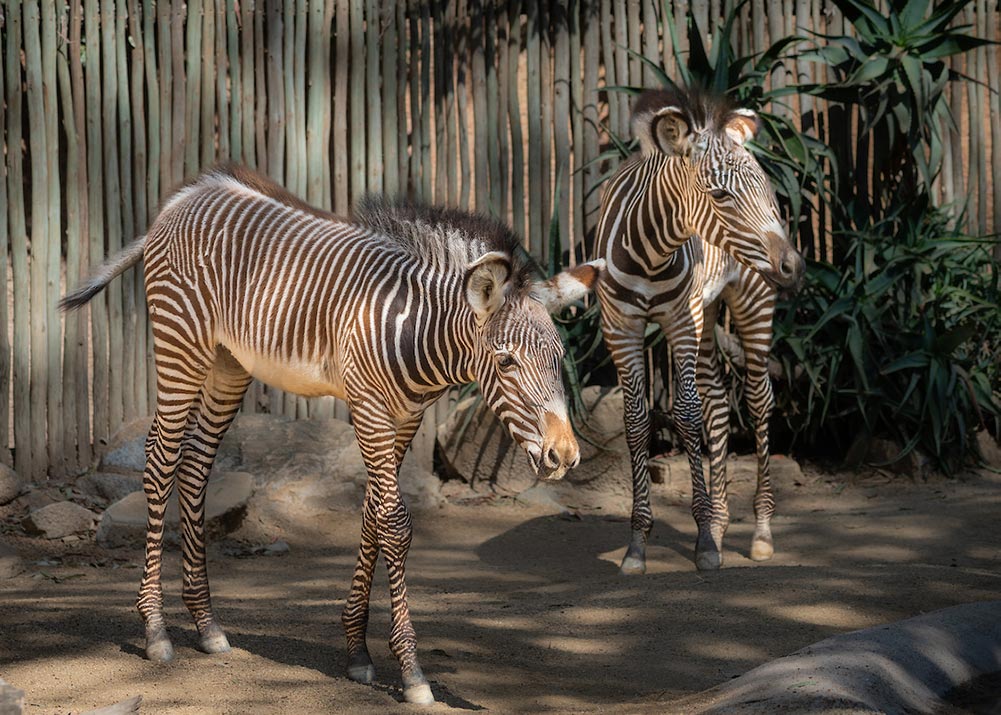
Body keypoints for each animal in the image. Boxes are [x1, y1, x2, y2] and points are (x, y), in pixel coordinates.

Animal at [61, 163, 603, 705]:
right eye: (506, 362)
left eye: (560, 358)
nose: (564, 456)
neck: (416, 333)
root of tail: (187, 195)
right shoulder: (368, 407)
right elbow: (395, 524)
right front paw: (411, 672)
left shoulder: (404, 418)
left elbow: (373, 515)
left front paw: (357, 652)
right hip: (181, 344)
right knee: (160, 460)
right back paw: (155, 631)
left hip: (228, 361)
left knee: (196, 464)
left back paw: (206, 623)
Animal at [593, 88, 804, 574]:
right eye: (721, 195)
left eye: (766, 193)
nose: (795, 266)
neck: (650, 251)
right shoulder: (621, 329)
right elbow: (638, 422)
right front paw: (638, 544)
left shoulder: (679, 322)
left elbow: (687, 417)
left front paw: (704, 540)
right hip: (706, 314)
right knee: (718, 404)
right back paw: (723, 523)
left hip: (751, 301)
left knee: (758, 400)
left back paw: (759, 532)